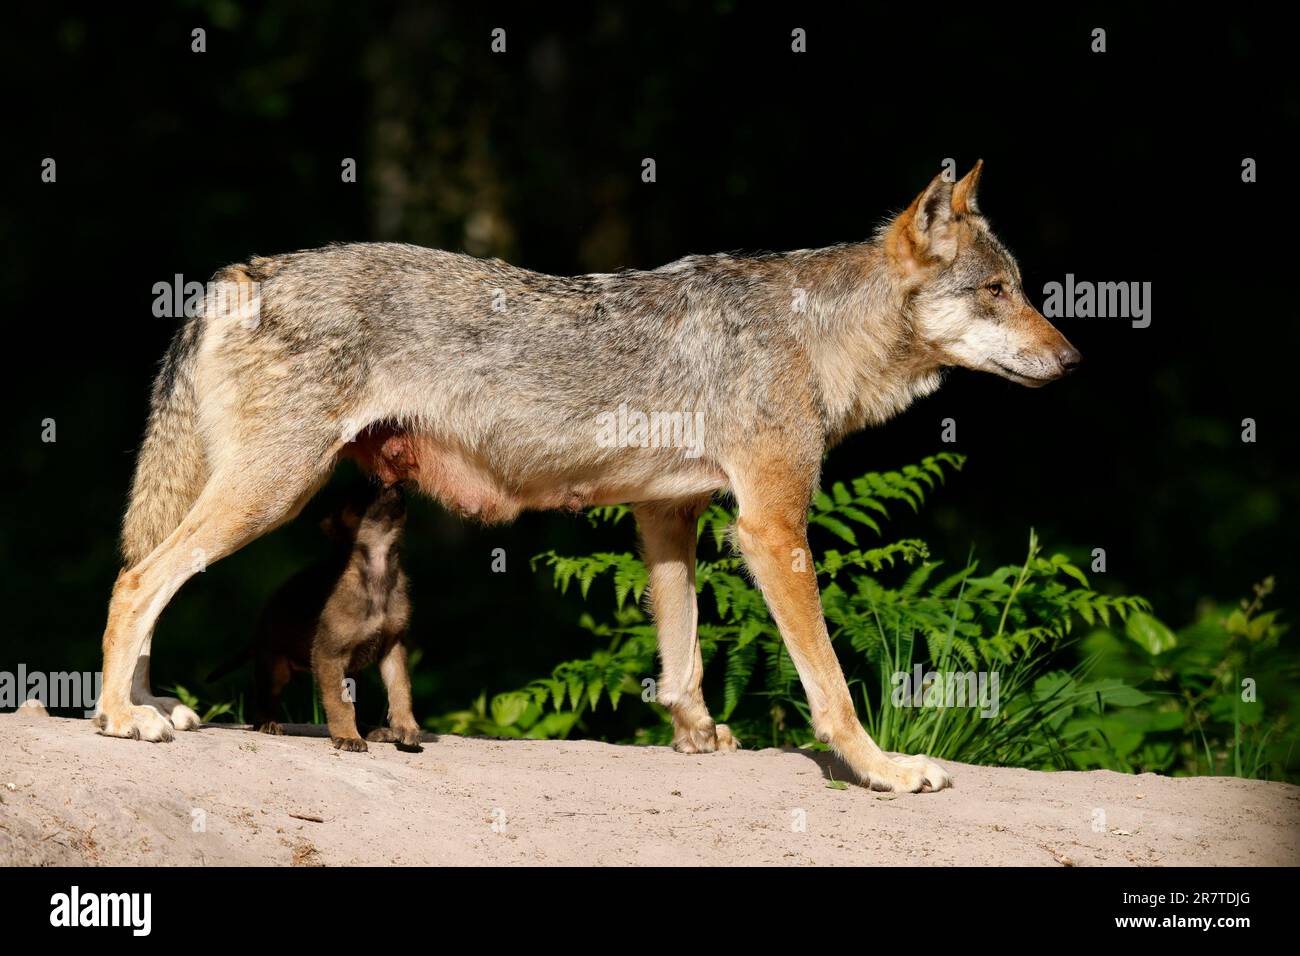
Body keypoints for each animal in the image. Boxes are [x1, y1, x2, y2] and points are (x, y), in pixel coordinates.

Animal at [206, 484, 420, 751]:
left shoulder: (393, 646)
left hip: (353, 672)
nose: (394, 484)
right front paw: (347, 736)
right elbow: (340, 703)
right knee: (264, 699)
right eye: (362, 490)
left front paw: (406, 726)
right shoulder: (328, 655)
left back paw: (370, 729)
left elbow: (401, 688)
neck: (378, 569)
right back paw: (267, 724)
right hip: (275, 667)